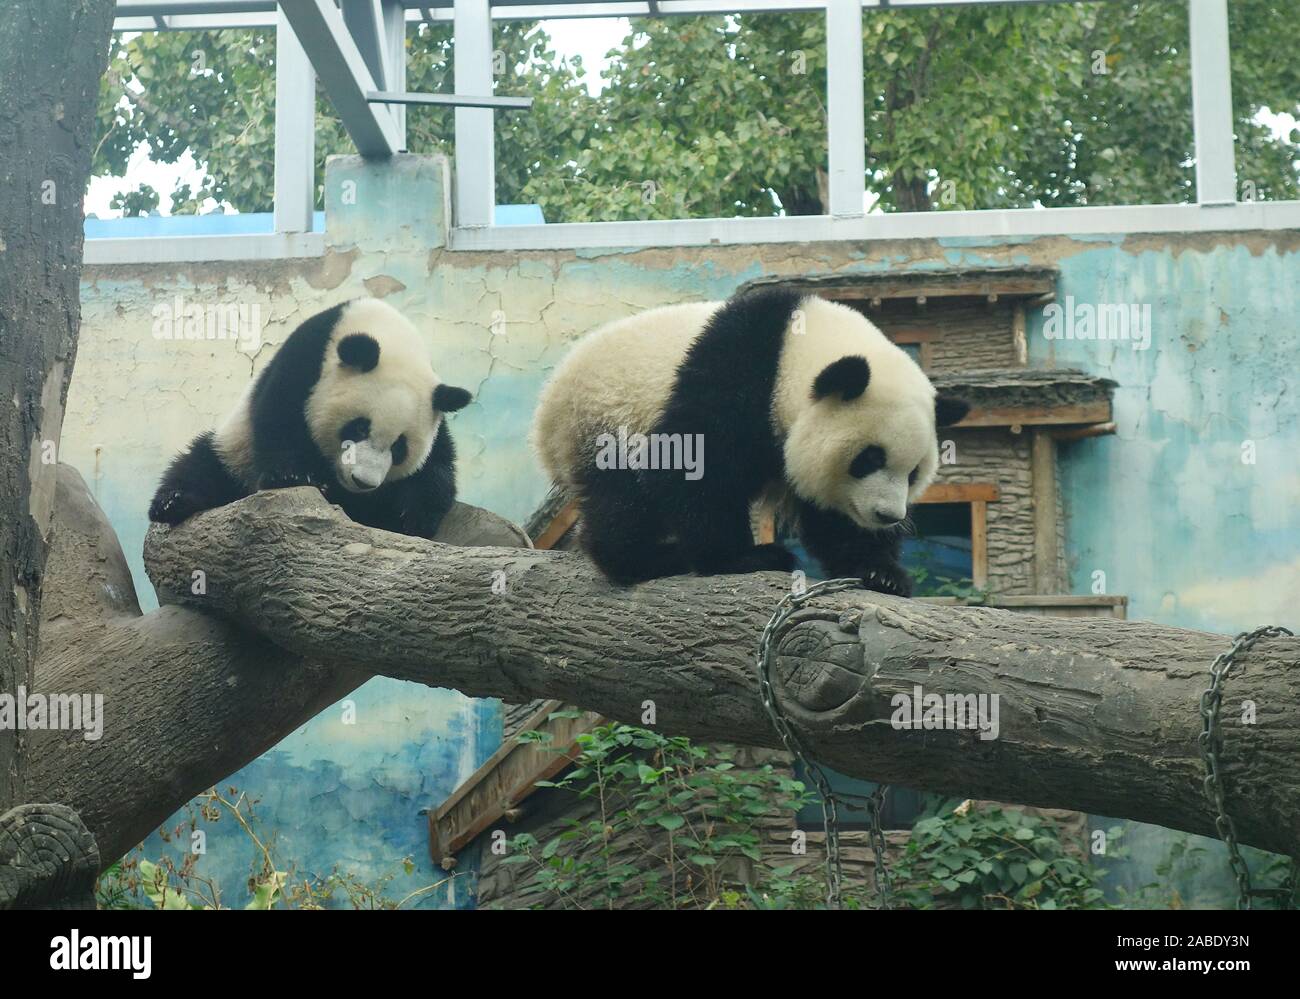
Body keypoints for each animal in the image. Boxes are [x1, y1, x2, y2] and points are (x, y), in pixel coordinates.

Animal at [149, 297, 472, 539]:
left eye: (399, 447)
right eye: (359, 428)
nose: (363, 481)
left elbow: (436, 466)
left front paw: (414, 517)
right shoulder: (305, 362)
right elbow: (279, 420)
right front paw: (293, 476)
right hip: (234, 450)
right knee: (201, 467)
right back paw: (173, 503)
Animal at [530, 287, 969, 593]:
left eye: (913, 473)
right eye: (869, 459)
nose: (887, 516)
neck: (795, 351)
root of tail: (548, 408)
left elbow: (833, 518)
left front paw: (881, 572)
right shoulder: (738, 371)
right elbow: (691, 464)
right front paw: (743, 557)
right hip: (607, 418)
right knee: (621, 498)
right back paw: (647, 558)